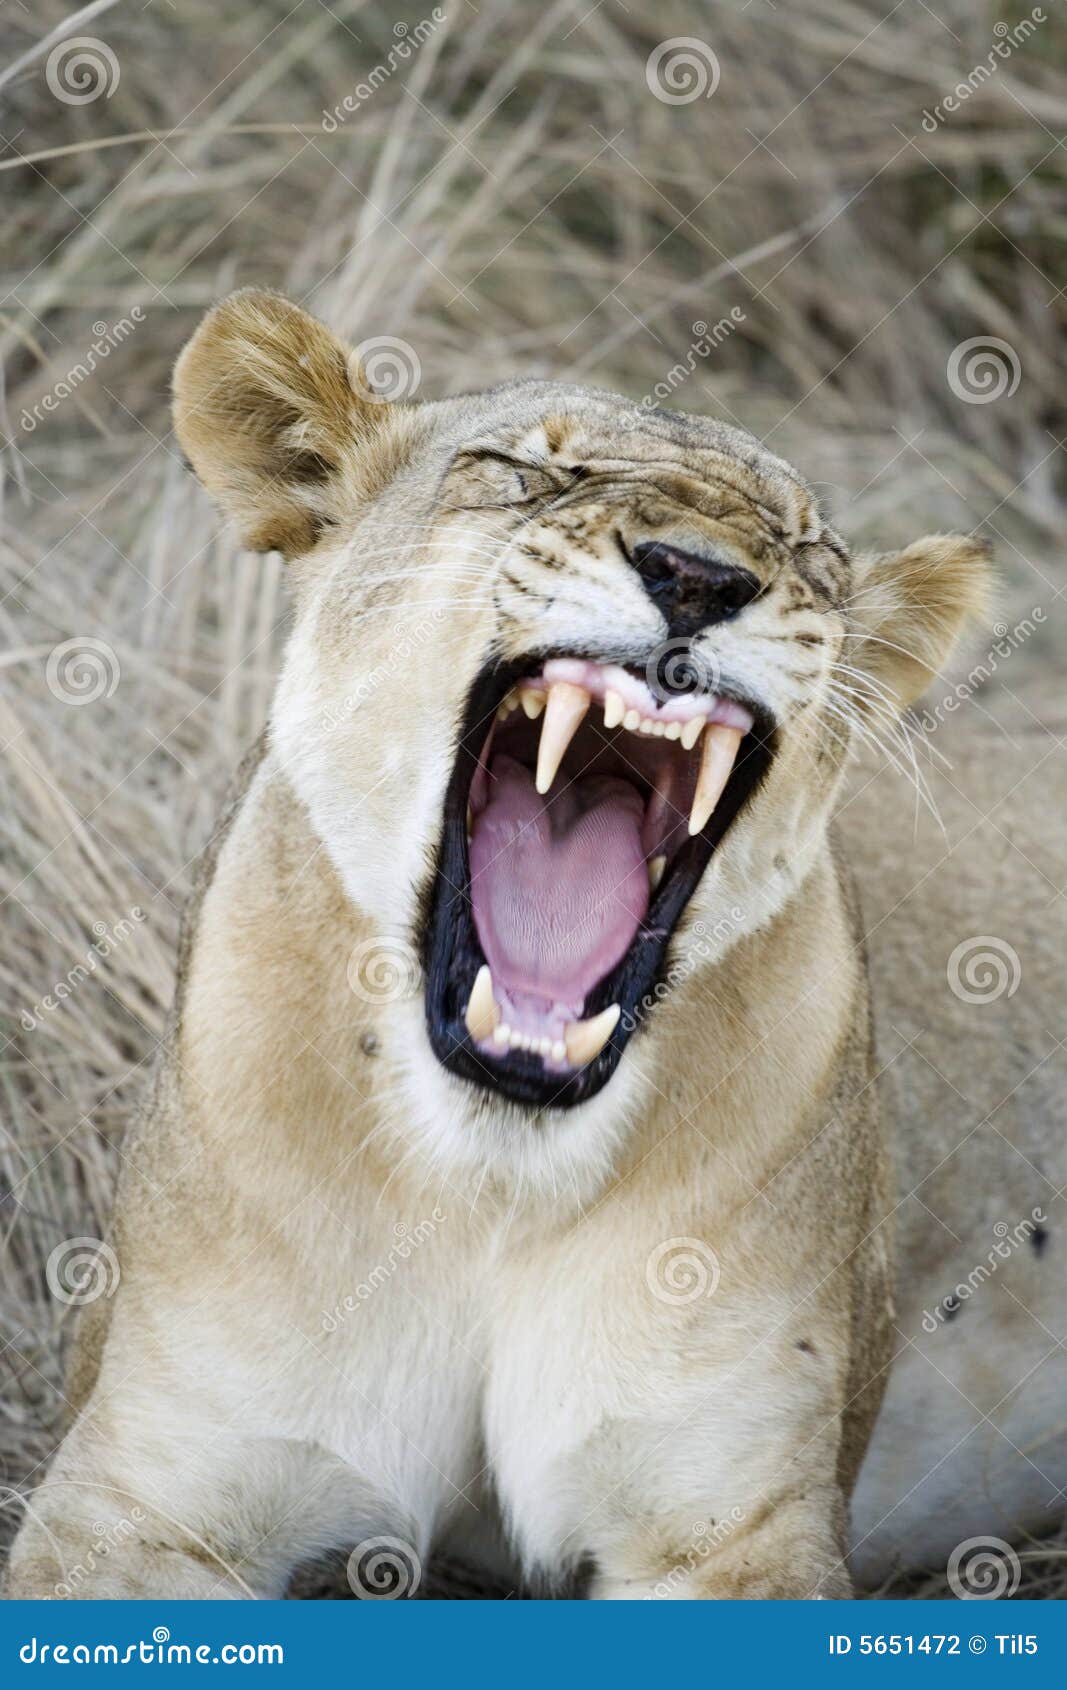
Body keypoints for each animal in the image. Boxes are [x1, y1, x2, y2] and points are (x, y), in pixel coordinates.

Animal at [6, 290, 1064, 1600]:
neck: (487, 1180)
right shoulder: (138, 1494)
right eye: (525, 470)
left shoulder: (731, 1525)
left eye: (803, 547)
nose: (697, 576)